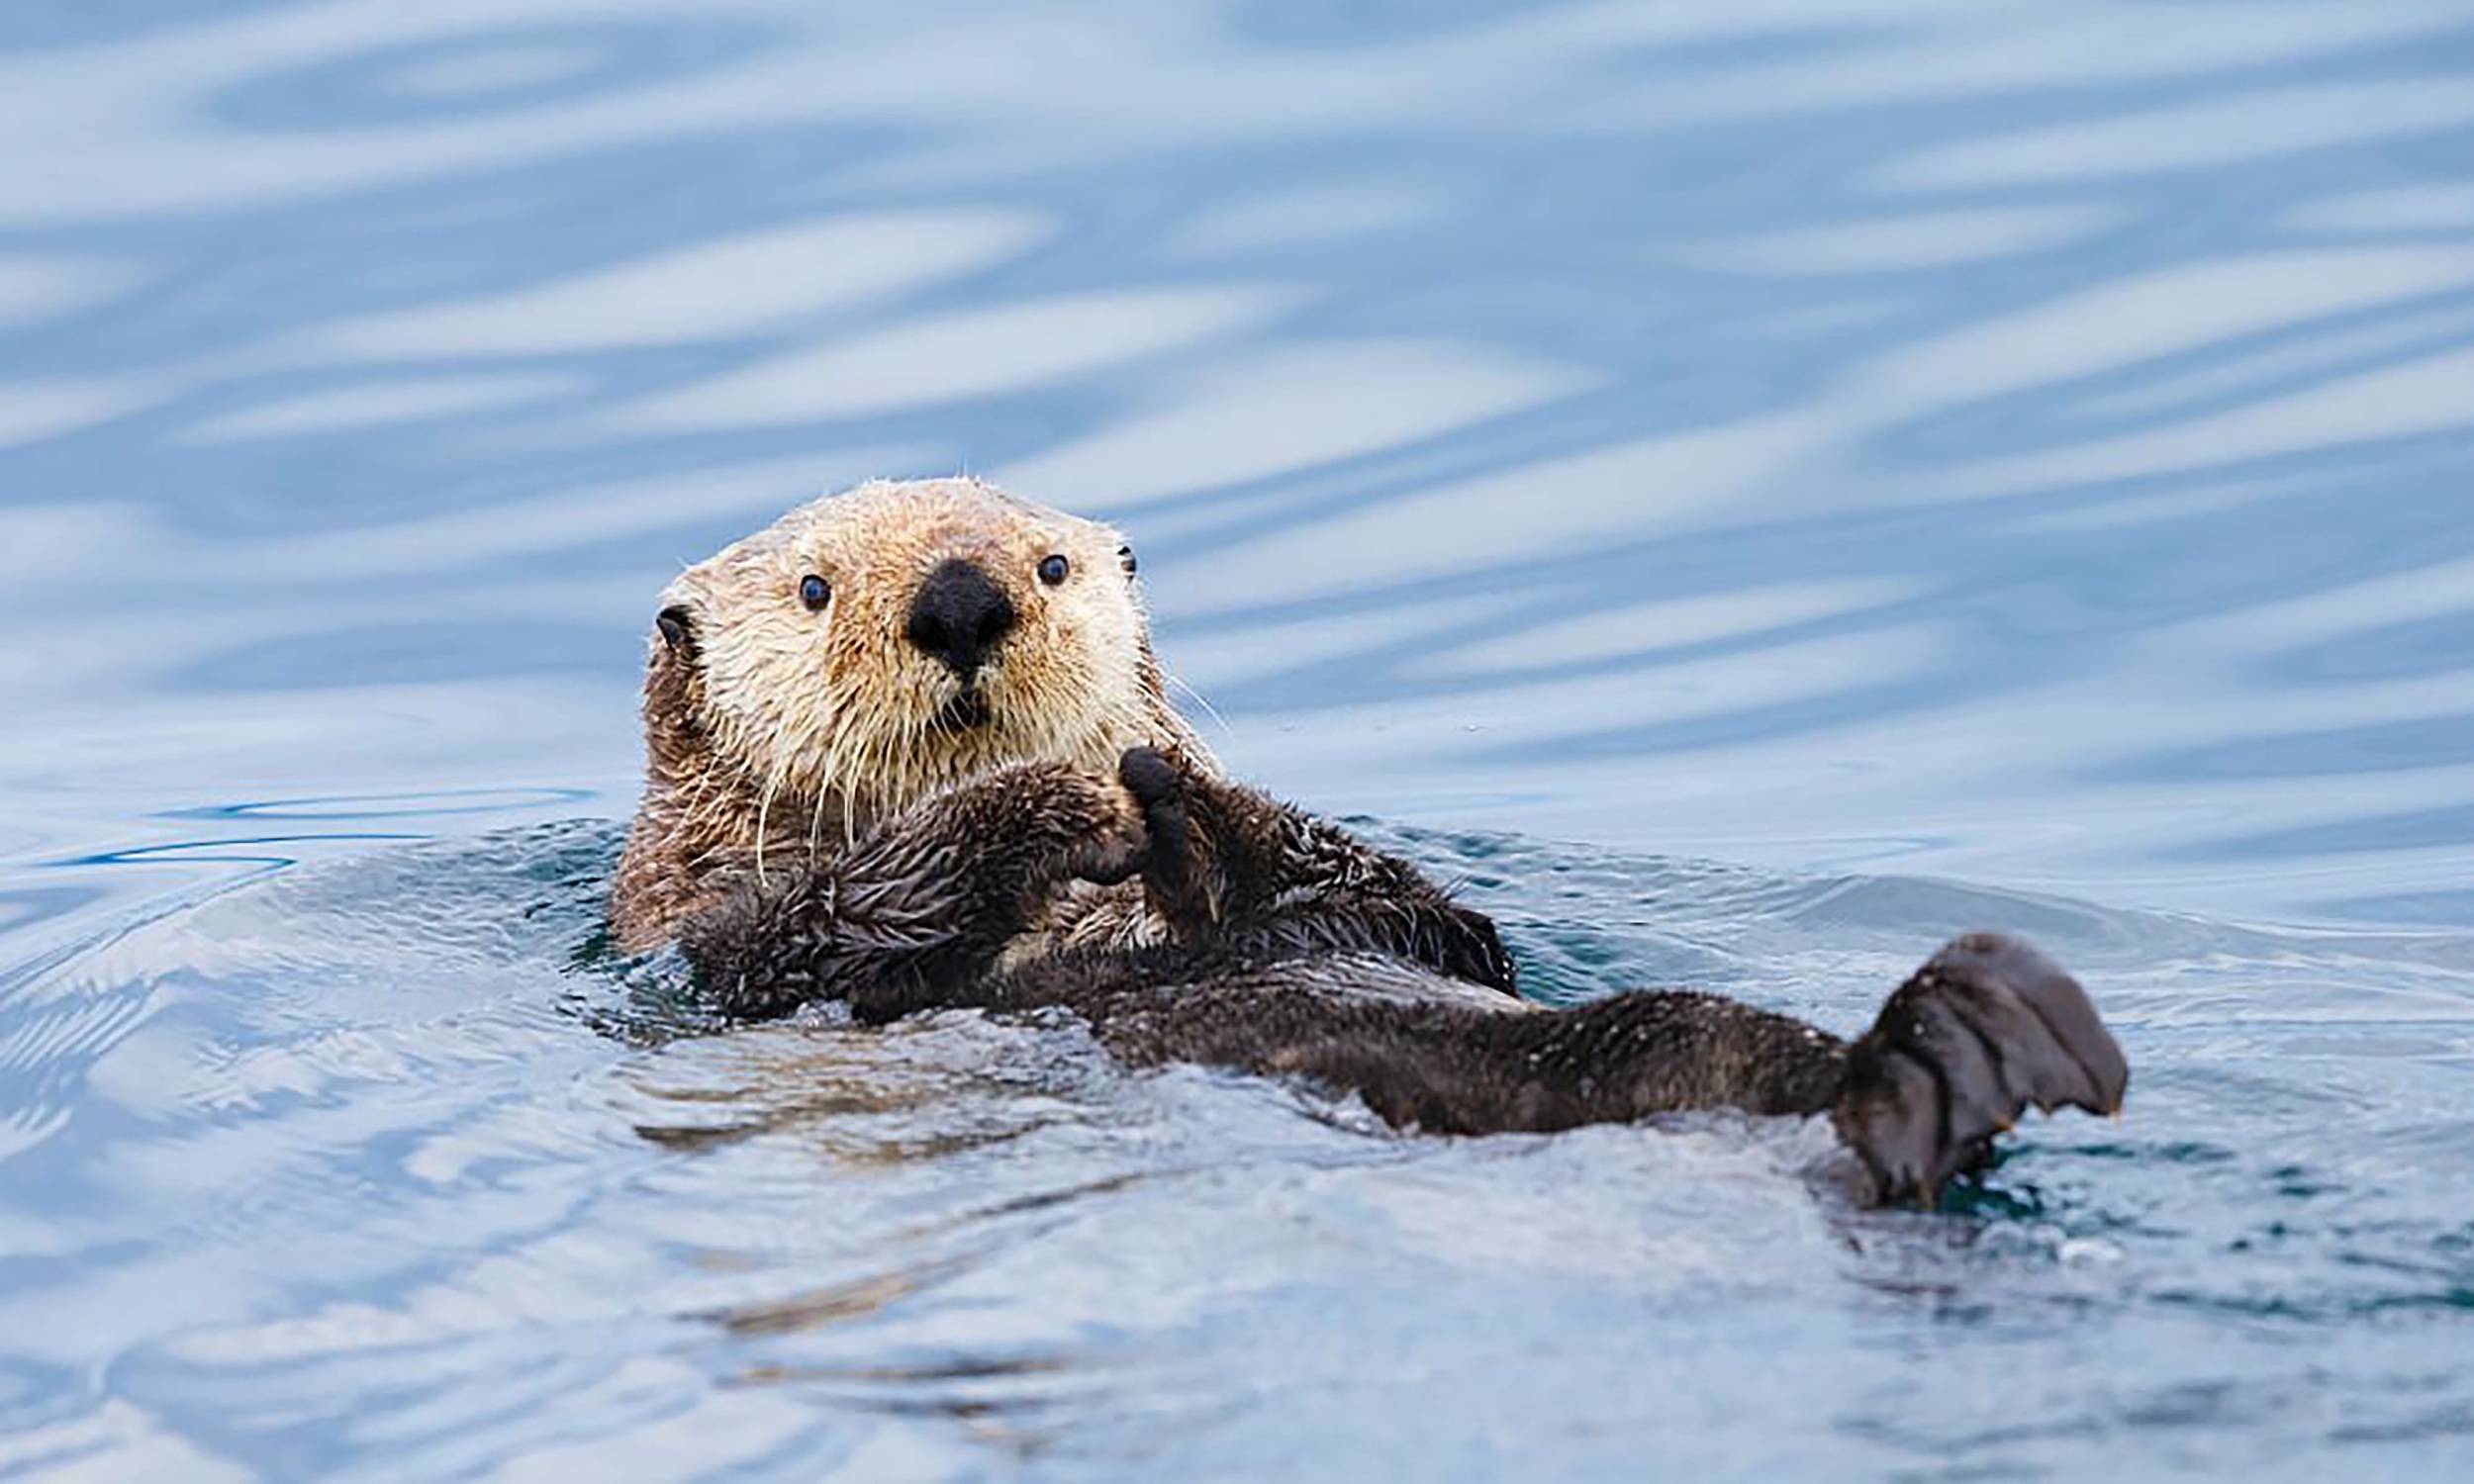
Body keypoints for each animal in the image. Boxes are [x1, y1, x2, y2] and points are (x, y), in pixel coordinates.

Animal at [619, 478, 2127, 1207]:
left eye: (1049, 565)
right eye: (816, 590)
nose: (958, 597)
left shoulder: (1414, 922)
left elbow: (1419, 913)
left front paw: (1176, 798)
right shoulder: (716, 947)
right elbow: (843, 920)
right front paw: (1065, 802)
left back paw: (1970, 1041)